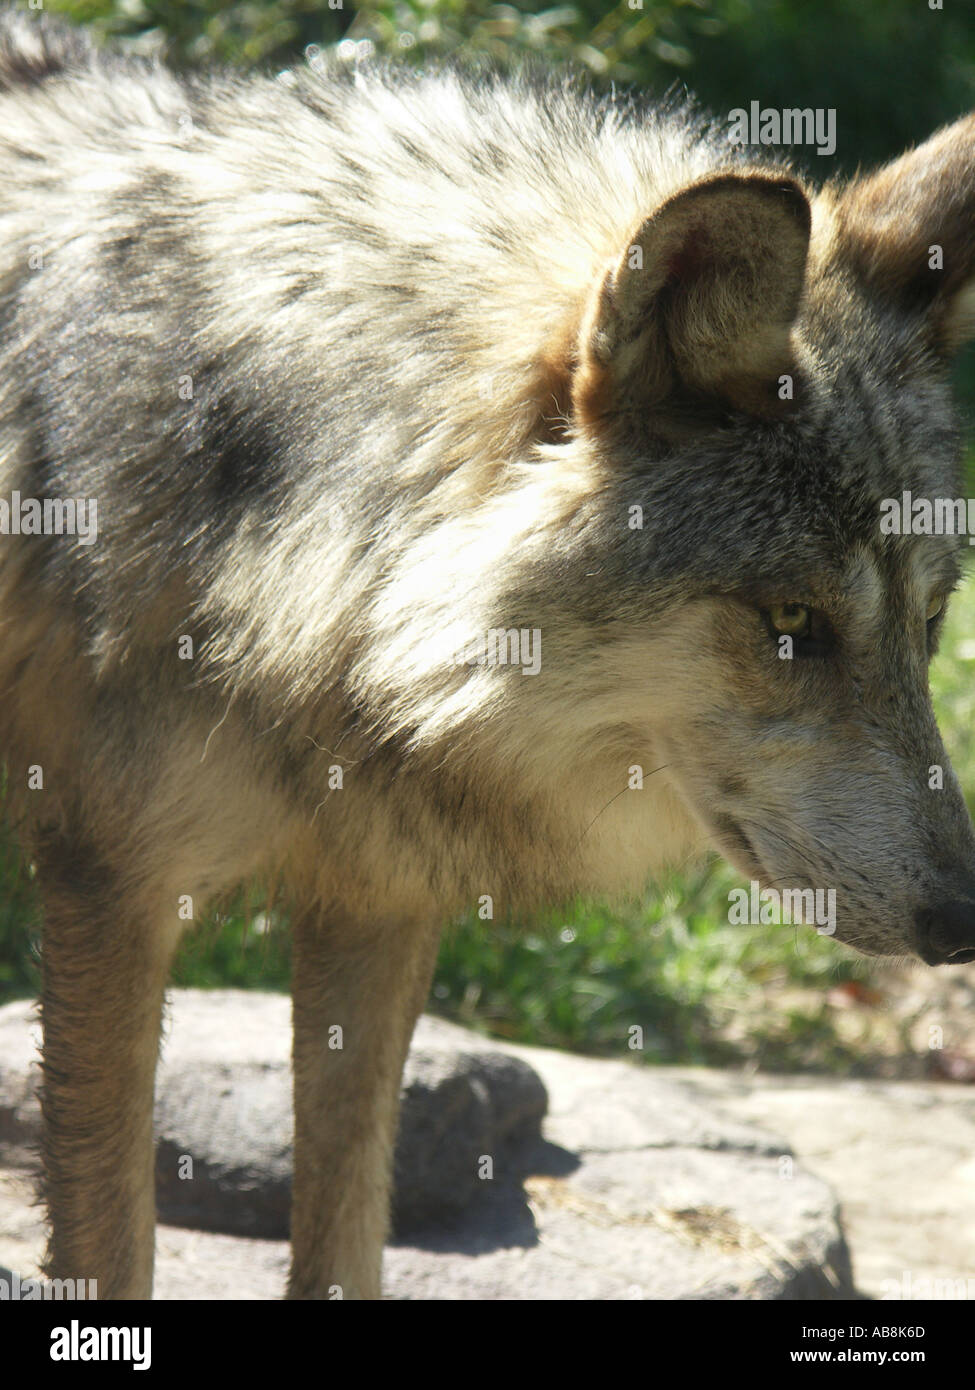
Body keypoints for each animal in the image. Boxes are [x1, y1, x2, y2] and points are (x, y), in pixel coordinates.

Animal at [1, 8, 975, 1300]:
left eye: (931, 621)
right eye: (792, 625)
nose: (965, 920)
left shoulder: (374, 889)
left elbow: (349, 1228)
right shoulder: (112, 888)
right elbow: (114, 1242)